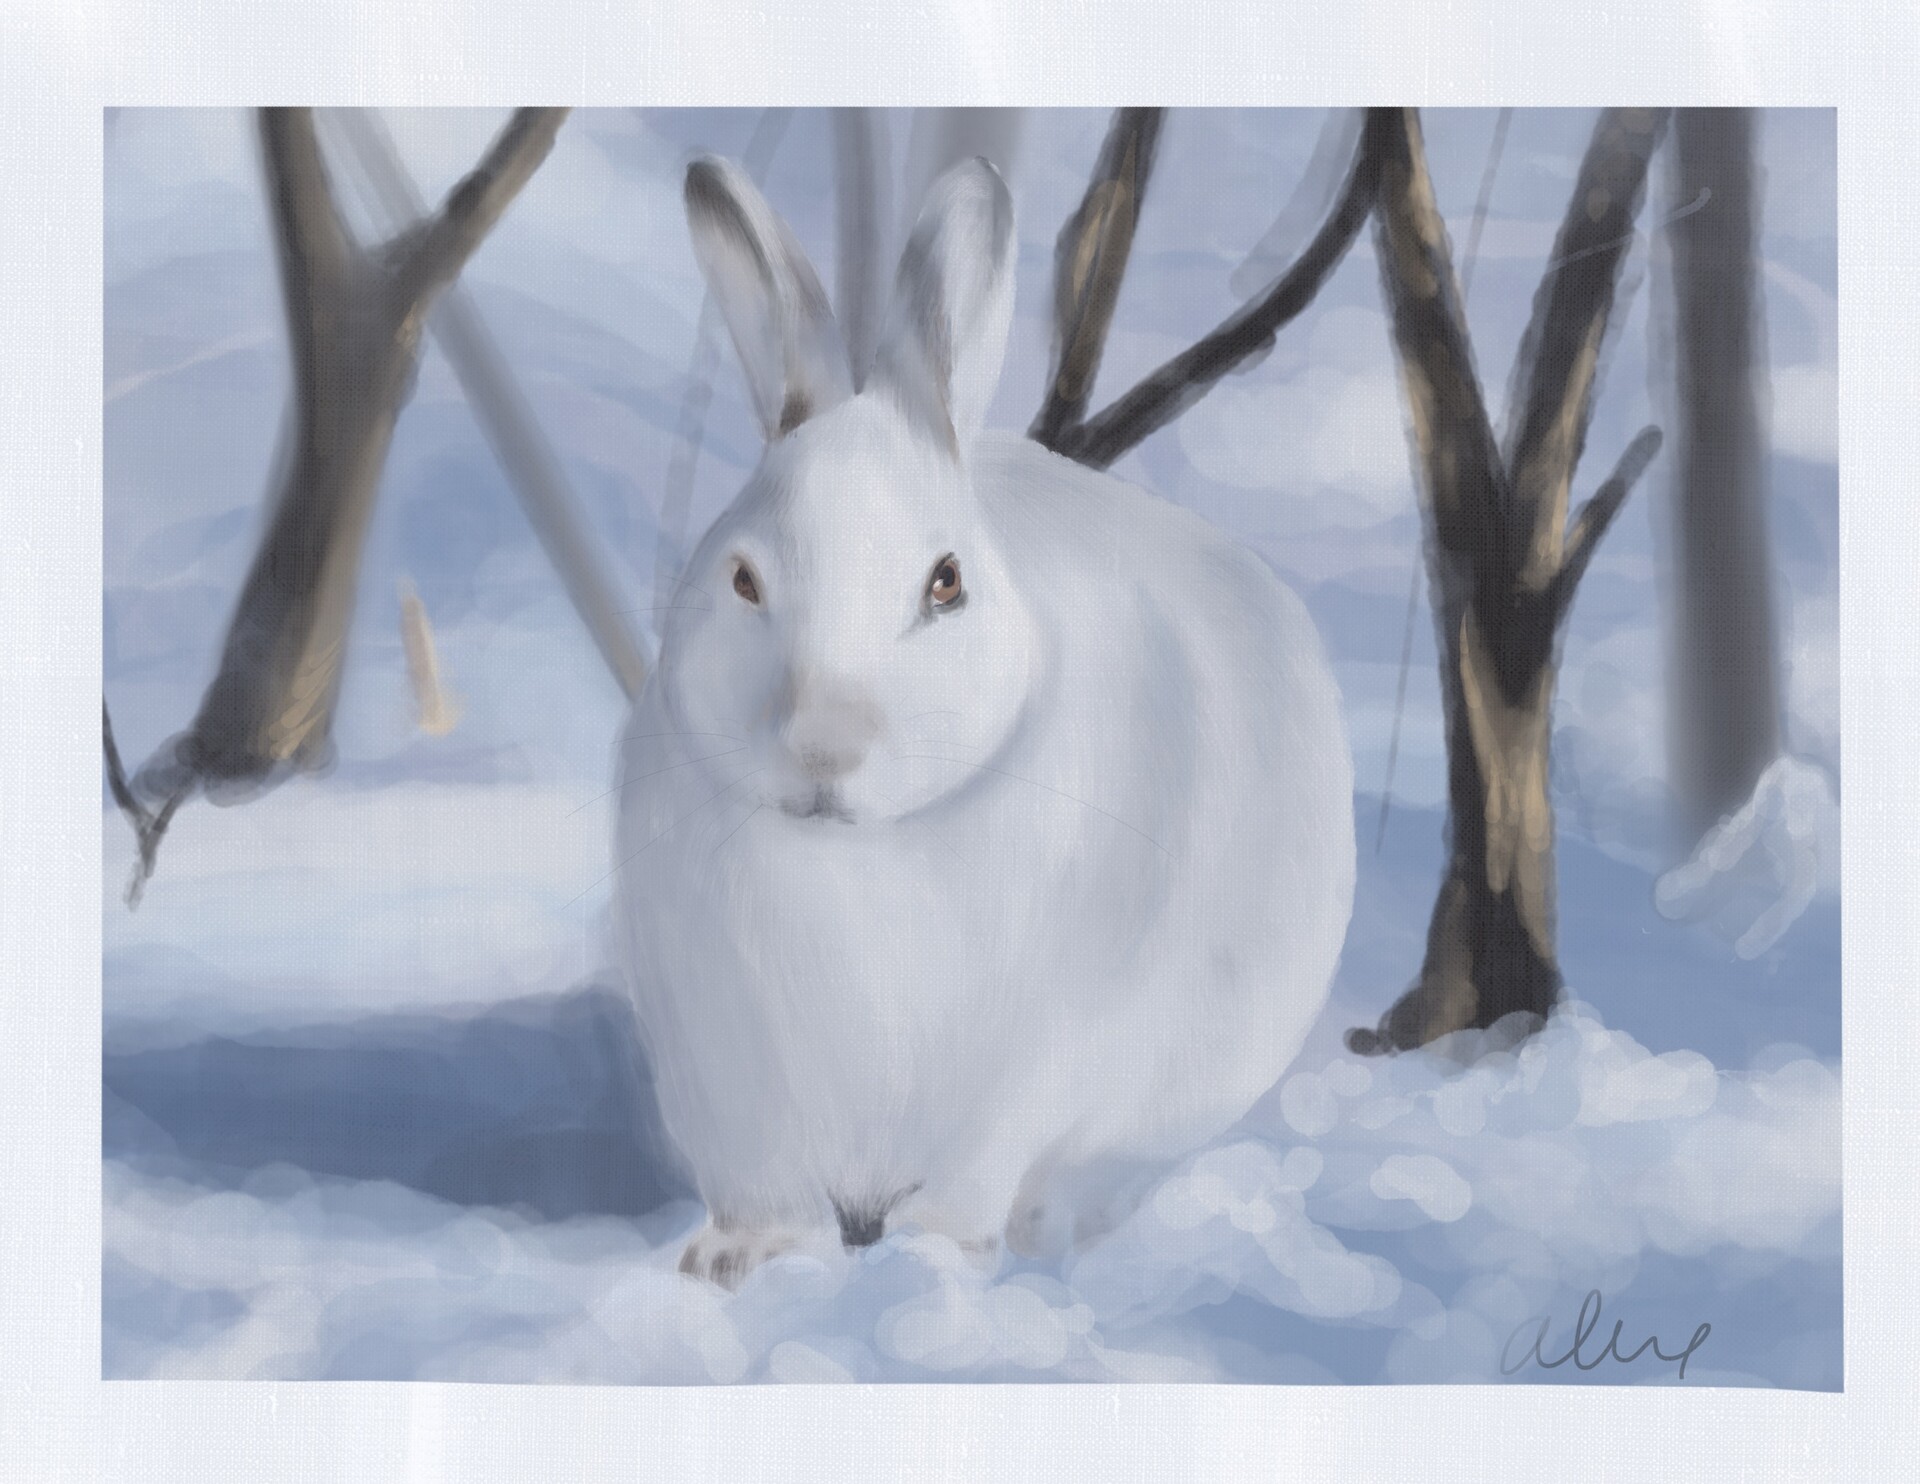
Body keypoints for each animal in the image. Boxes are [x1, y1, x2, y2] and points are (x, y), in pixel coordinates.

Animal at [614, 150, 1356, 1288]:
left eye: (946, 583)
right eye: (742, 578)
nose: (824, 745)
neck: (857, 854)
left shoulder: (1033, 1066)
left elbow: (975, 1168)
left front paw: (935, 1253)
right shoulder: (722, 1077)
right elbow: (762, 1185)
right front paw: (741, 1259)